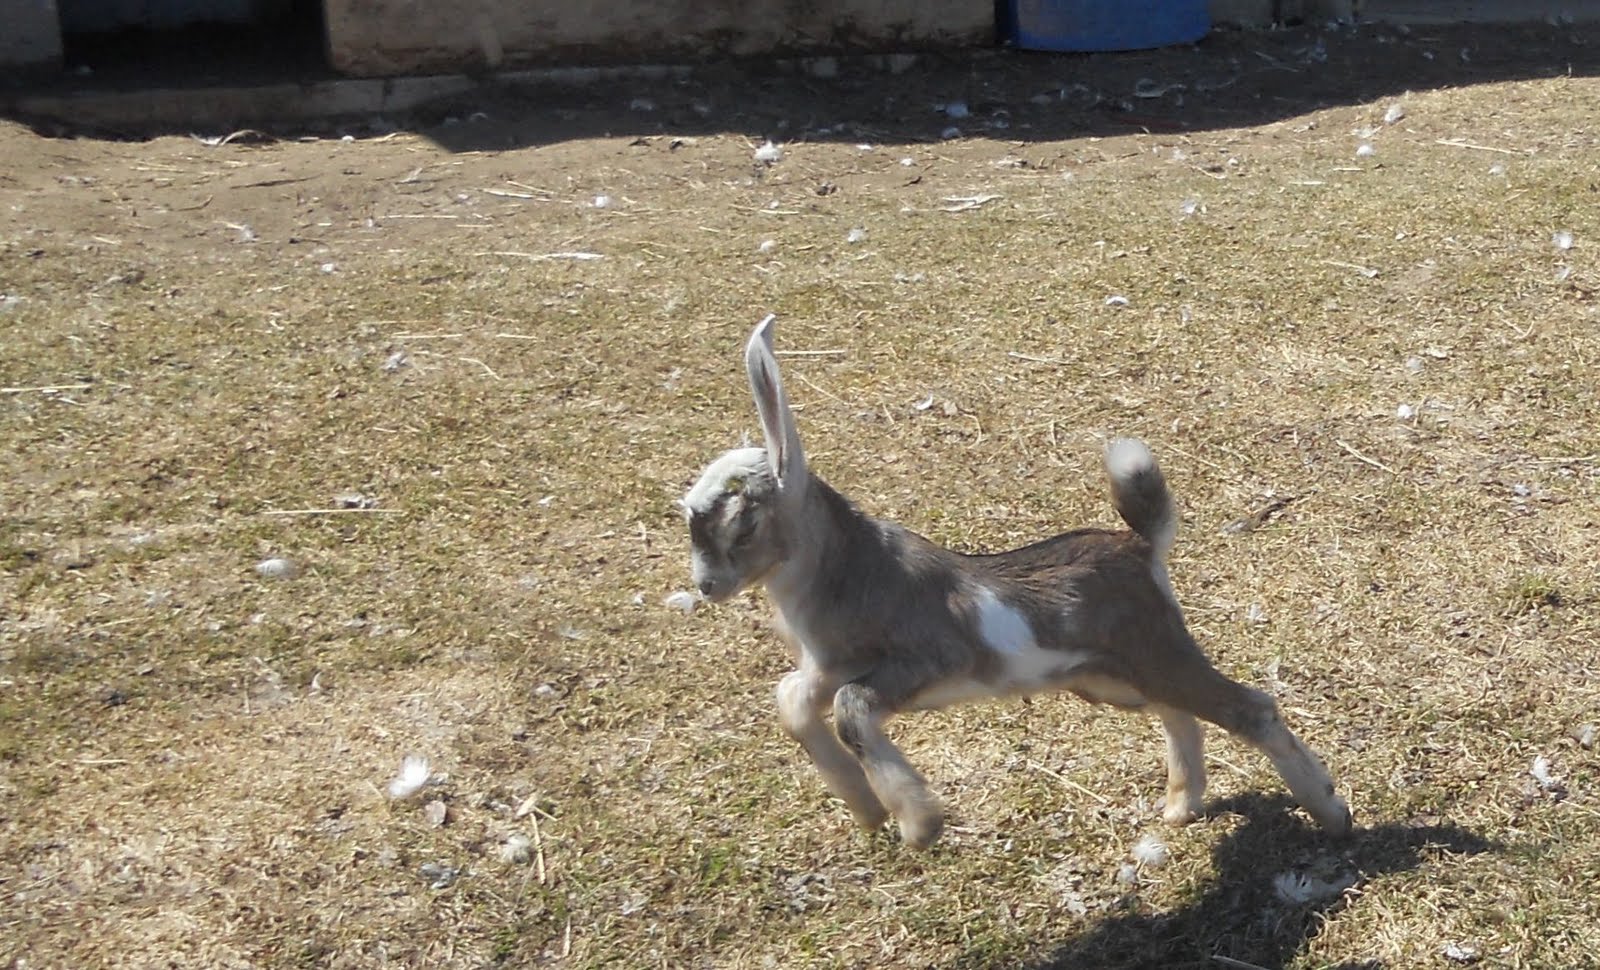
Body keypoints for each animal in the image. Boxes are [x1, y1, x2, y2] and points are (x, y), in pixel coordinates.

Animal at [682, 315, 1352, 849]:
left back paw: (1331, 812)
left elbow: (850, 710)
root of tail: (1139, 545)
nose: (708, 587)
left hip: (1153, 652)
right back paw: (1181, 806)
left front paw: (919, 824)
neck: (851, 572)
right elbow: (793, 698)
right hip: (1111, 675)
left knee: (1250, 708)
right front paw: (867, 809)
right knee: (1176, 711)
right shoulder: (826, 666)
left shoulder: (929, 658)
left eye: (743, 524)